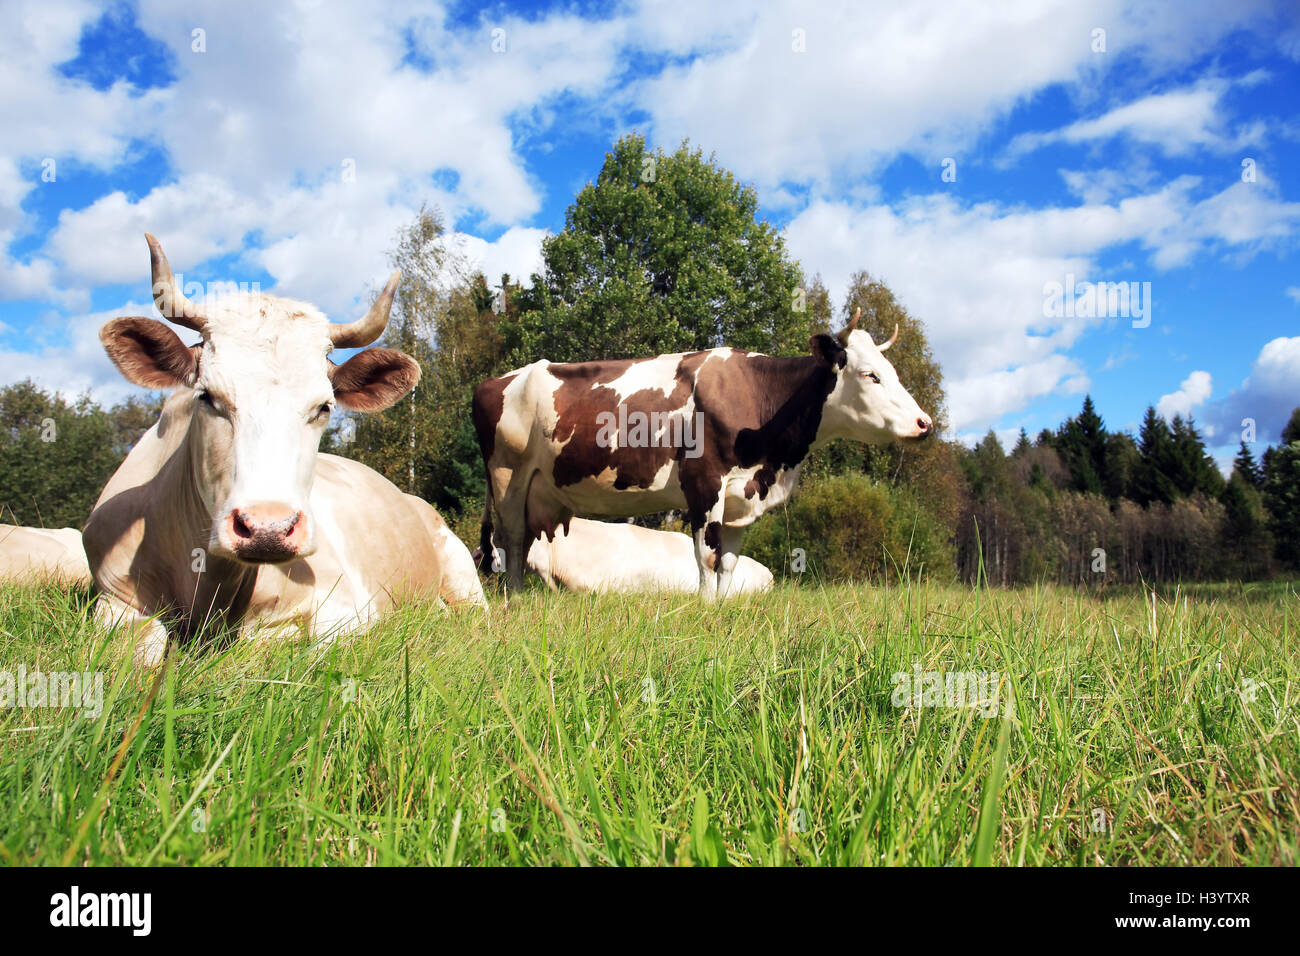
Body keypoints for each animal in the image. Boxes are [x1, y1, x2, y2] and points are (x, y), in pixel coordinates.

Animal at [83, 234, 478, 667]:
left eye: (324, 407)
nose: (267, 530)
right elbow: (138, 654)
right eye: (207, 396)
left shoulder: (349, 605)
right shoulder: (114, 601)